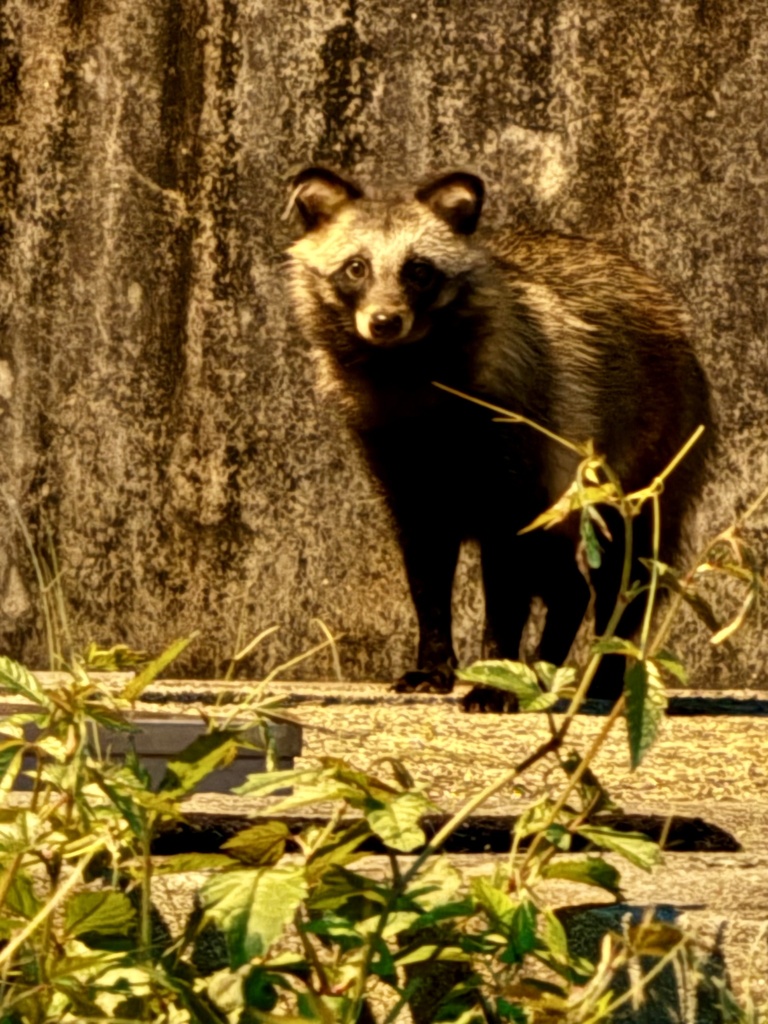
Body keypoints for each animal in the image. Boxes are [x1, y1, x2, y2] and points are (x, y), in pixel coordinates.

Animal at [286, 167, 712, 709]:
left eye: (418, 270)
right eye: (356, 267)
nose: (384, 321)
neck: (405, 368)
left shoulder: (512, 446)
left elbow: (506, 582)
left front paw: (495, 675)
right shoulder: (399, 462)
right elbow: (425, 570)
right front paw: (433, 662)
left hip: (651, 446)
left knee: (625, 570)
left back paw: (605, 668)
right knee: (568, 583)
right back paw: (548, 666)